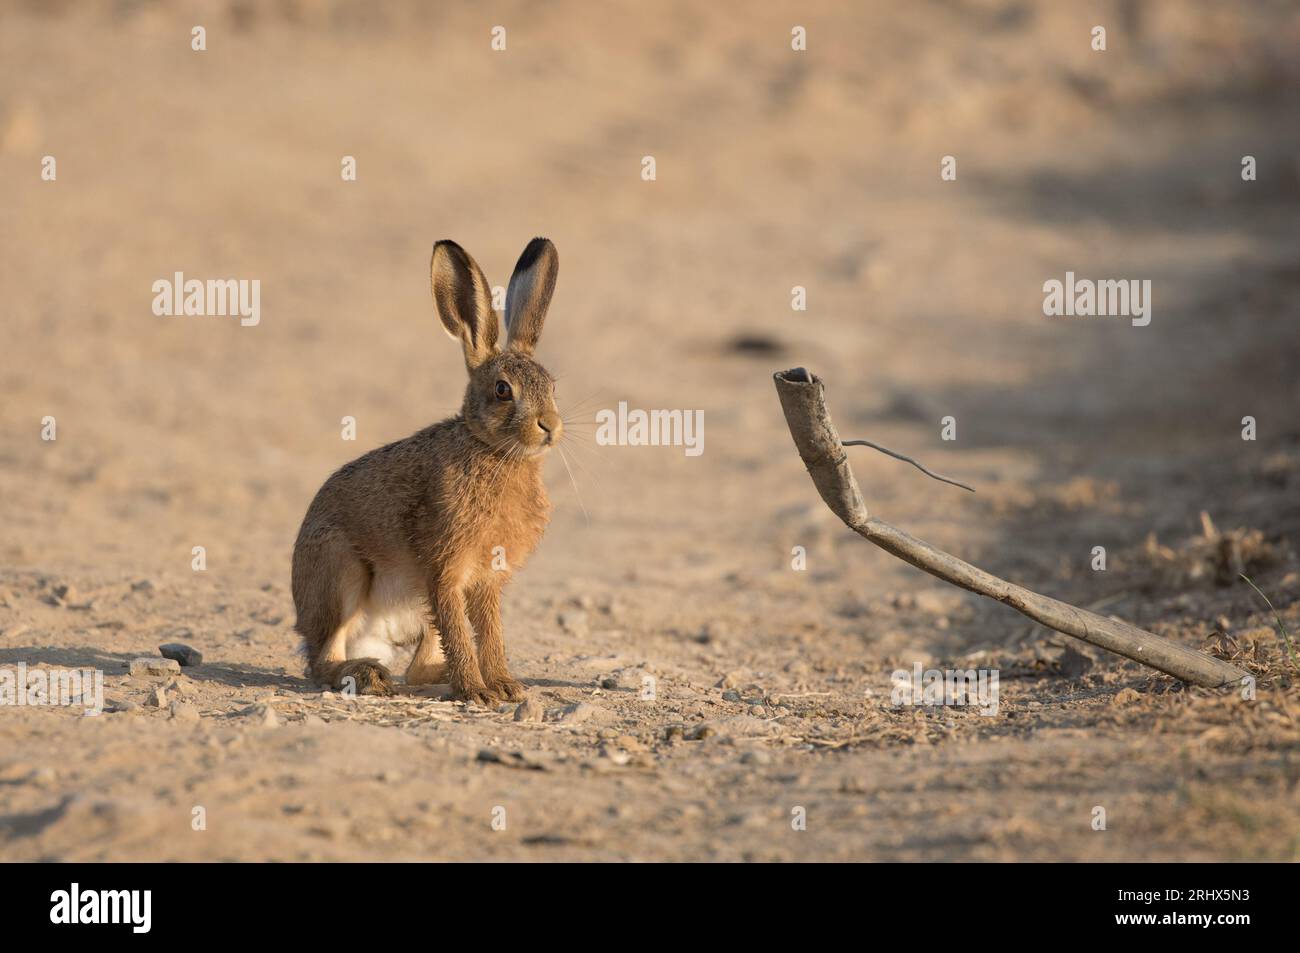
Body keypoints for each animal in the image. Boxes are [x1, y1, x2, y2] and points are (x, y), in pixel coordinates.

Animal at [291, 237, 563, 706]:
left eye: (552, 386)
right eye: (503, 390)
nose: (549, 424)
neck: (491, 451)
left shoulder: (485, 580)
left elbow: (490, 631)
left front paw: (504, 684)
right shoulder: (444, 569)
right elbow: (459, 627)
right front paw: (477, 691)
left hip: (416, 611)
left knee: (417, 667)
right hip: (340, 574)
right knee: (322, 661)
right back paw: (369, 674)